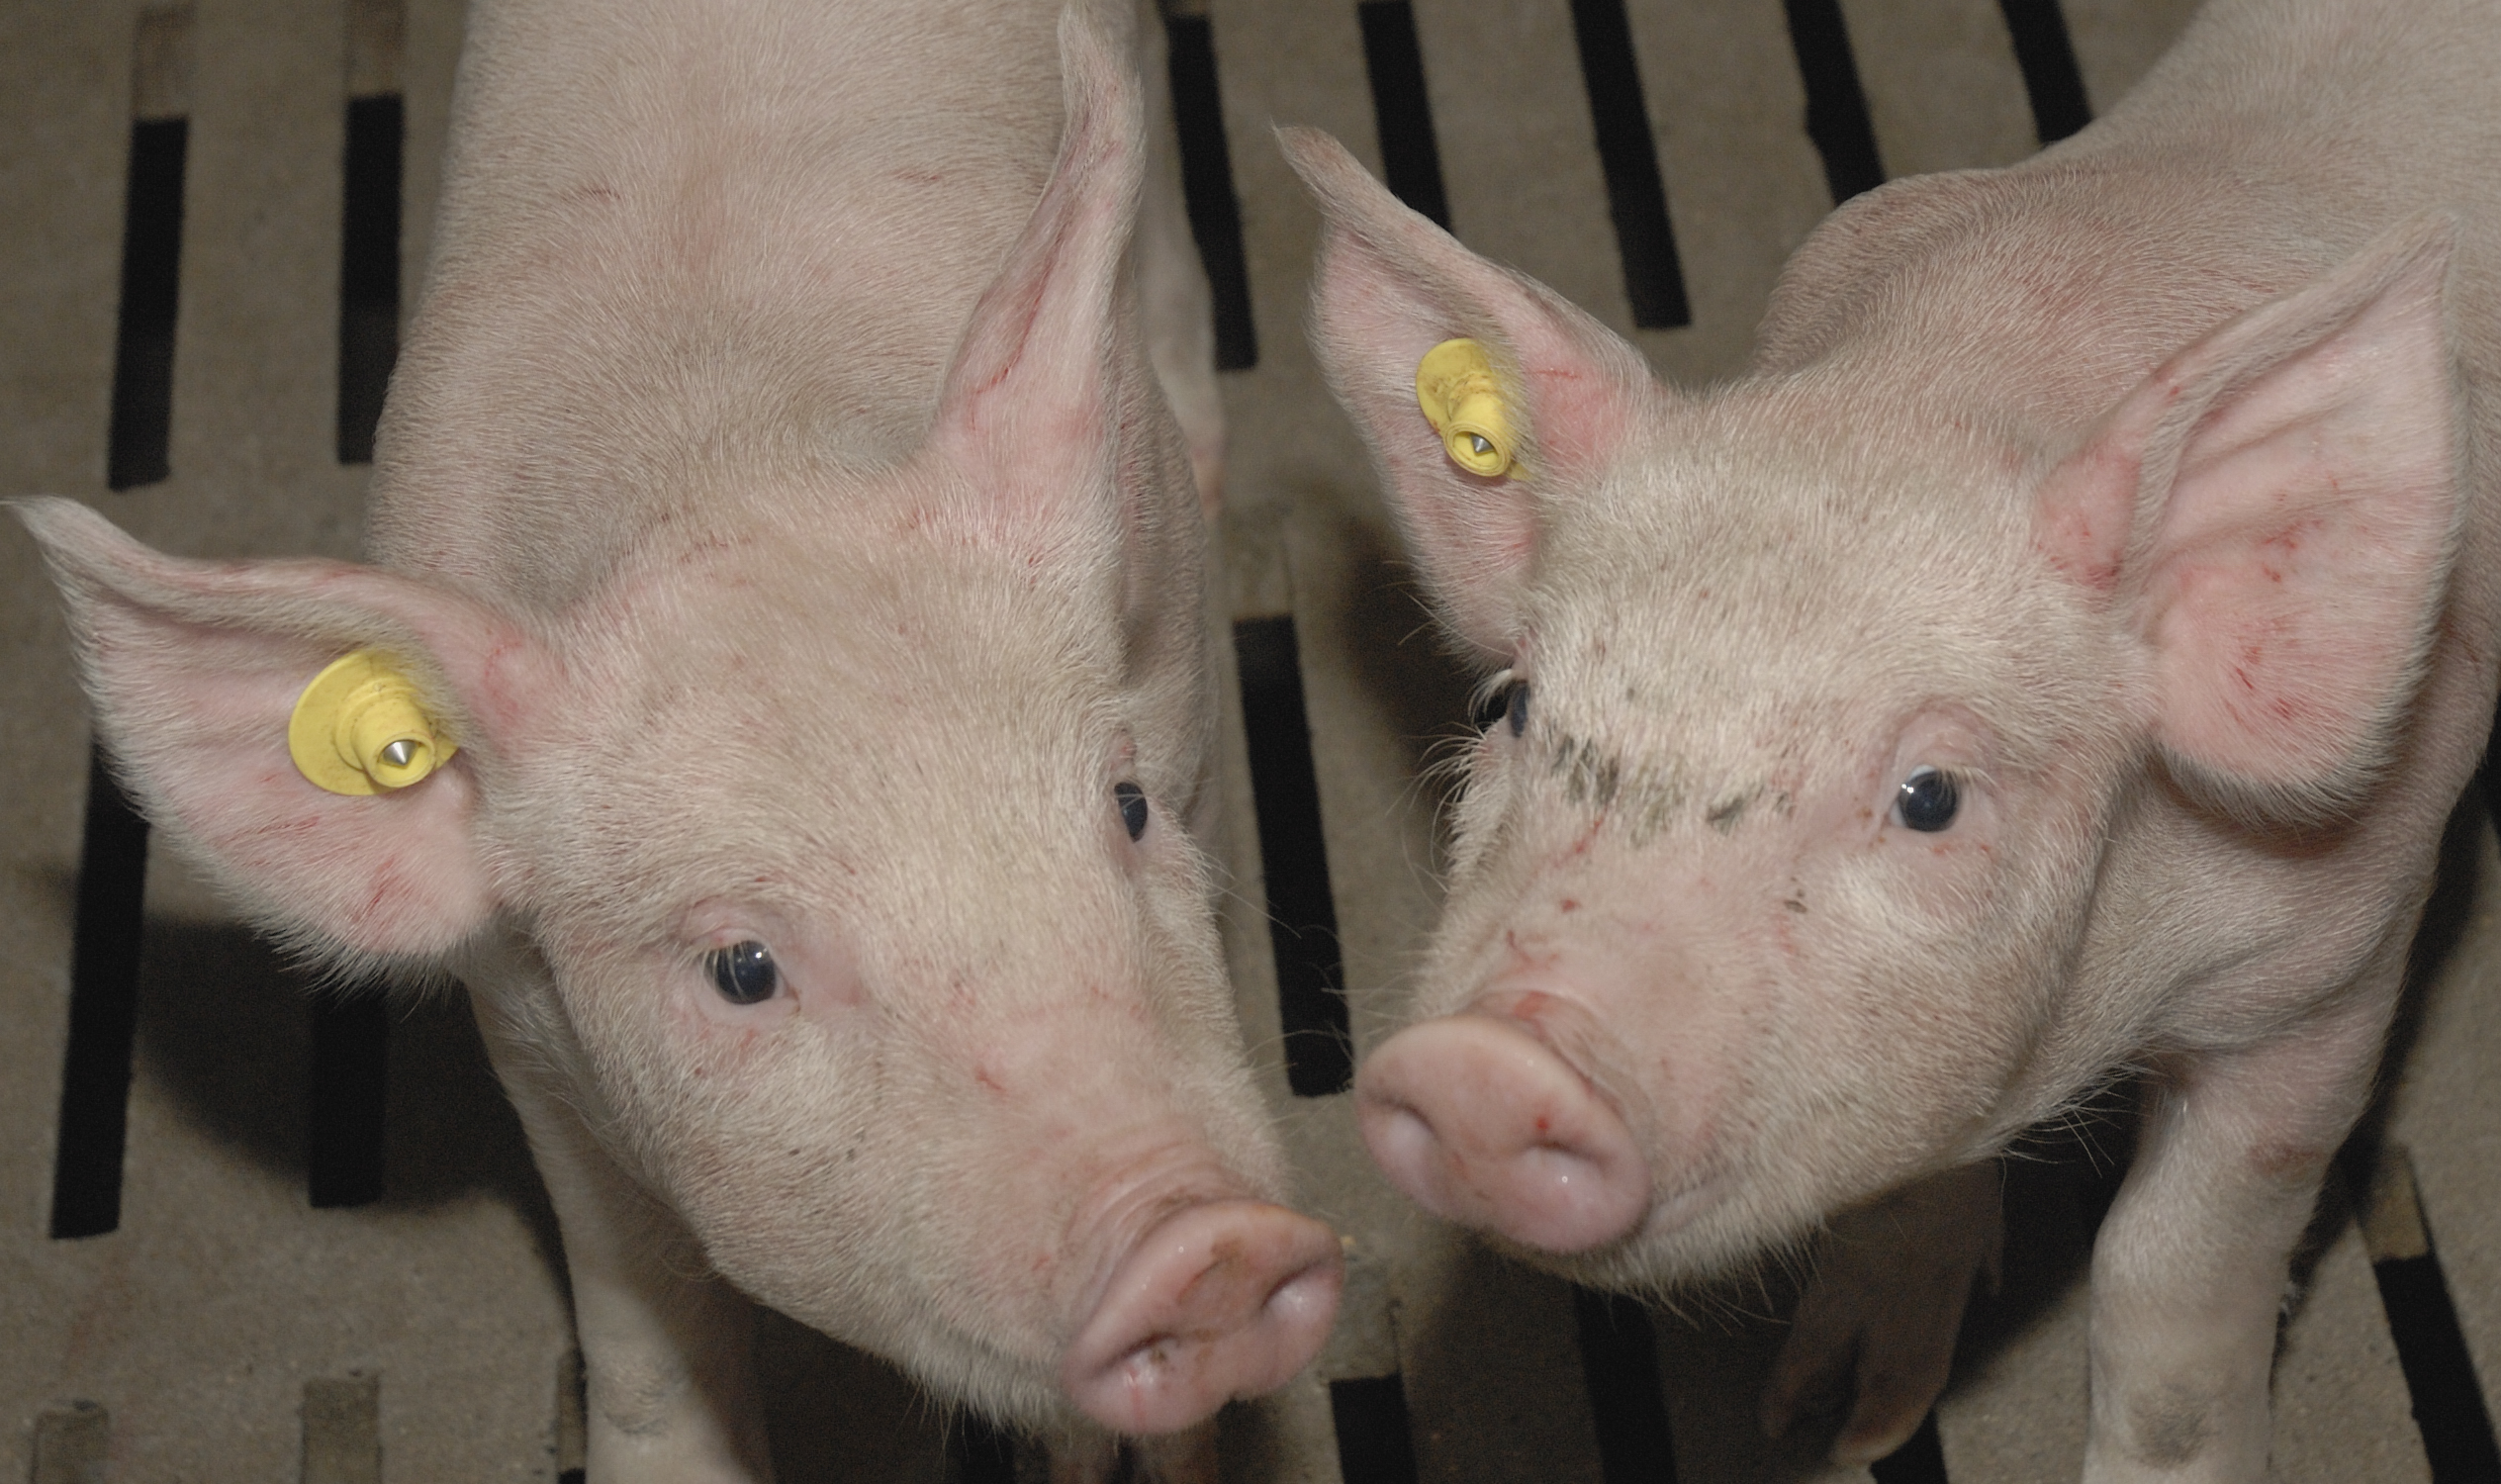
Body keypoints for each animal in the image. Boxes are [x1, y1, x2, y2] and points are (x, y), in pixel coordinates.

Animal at [16, 0, 1341, 1477]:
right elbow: (644, 1330)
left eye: (1123, 806)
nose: (1206, 1245)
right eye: (740, 969)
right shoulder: (525, 1029)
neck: (719, 462)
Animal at [1284, 0, 2500, 1475]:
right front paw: (1836, 1416)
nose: (1481, 1065)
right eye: (1505, 705)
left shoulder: (2333, 969)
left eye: (1932, 797)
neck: (1951, 395)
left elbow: (2169, 1275)